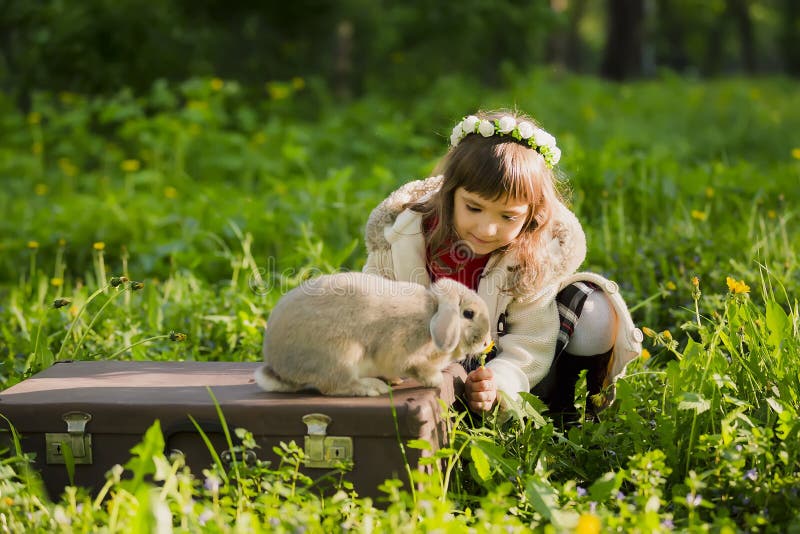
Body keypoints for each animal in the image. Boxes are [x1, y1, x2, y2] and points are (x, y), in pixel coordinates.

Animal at [254, 272, 492, 396]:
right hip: (343, 355)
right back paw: (372, 388)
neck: (431, 316)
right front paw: (435, 380)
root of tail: (279, 367)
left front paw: (395, 380)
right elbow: (416, 367)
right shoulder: (401, 351)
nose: (486, 342)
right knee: (334, 386)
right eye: (468, 314)